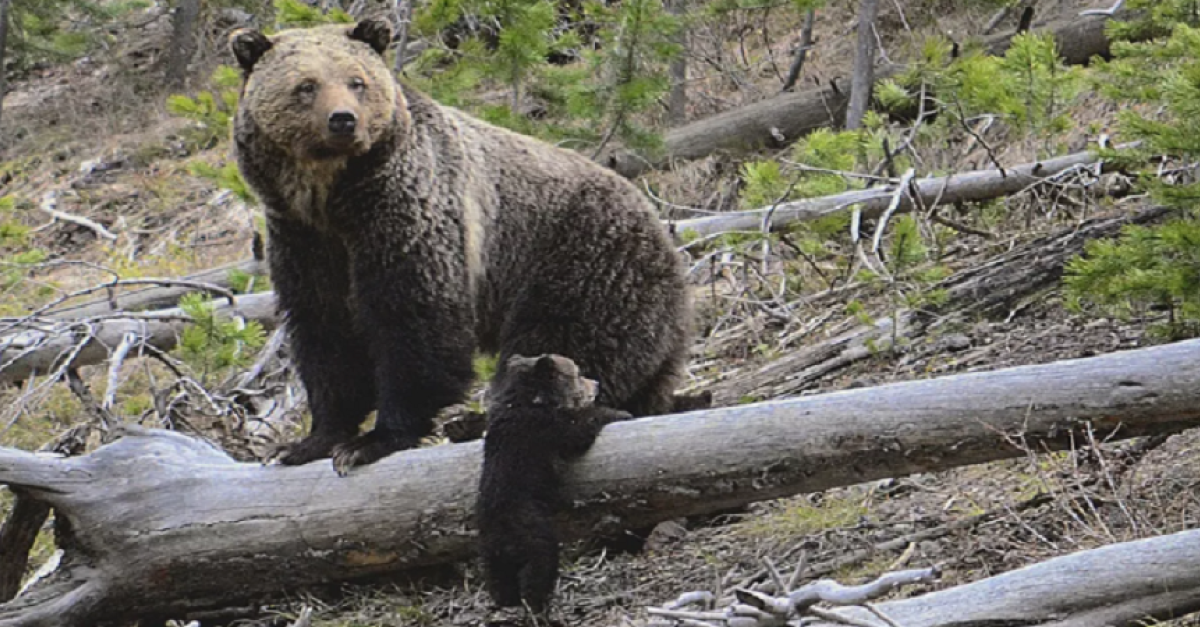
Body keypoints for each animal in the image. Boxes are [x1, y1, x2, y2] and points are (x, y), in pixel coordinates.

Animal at [228, 18, 693, 475]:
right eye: (306, 85)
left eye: (356, 81)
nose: (343, 120)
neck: (332, 198)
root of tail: (666, 238)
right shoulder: (303, 239)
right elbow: (325, 331)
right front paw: (308, 442)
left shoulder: (406, 214)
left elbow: (414, 320)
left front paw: (374, 440)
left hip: (583, 261)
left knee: (563, 344)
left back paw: (480, 419)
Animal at [476, 353, 630, 617]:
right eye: (577, 373)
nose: (596, 384)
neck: (528, 401)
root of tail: (501, 535)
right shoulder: (546, 427)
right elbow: (579, 430)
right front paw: (619, 413)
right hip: (530, 531)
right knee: (540, 567)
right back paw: (539, 607)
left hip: (490, 552)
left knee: (499, 580)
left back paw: (506, 602)